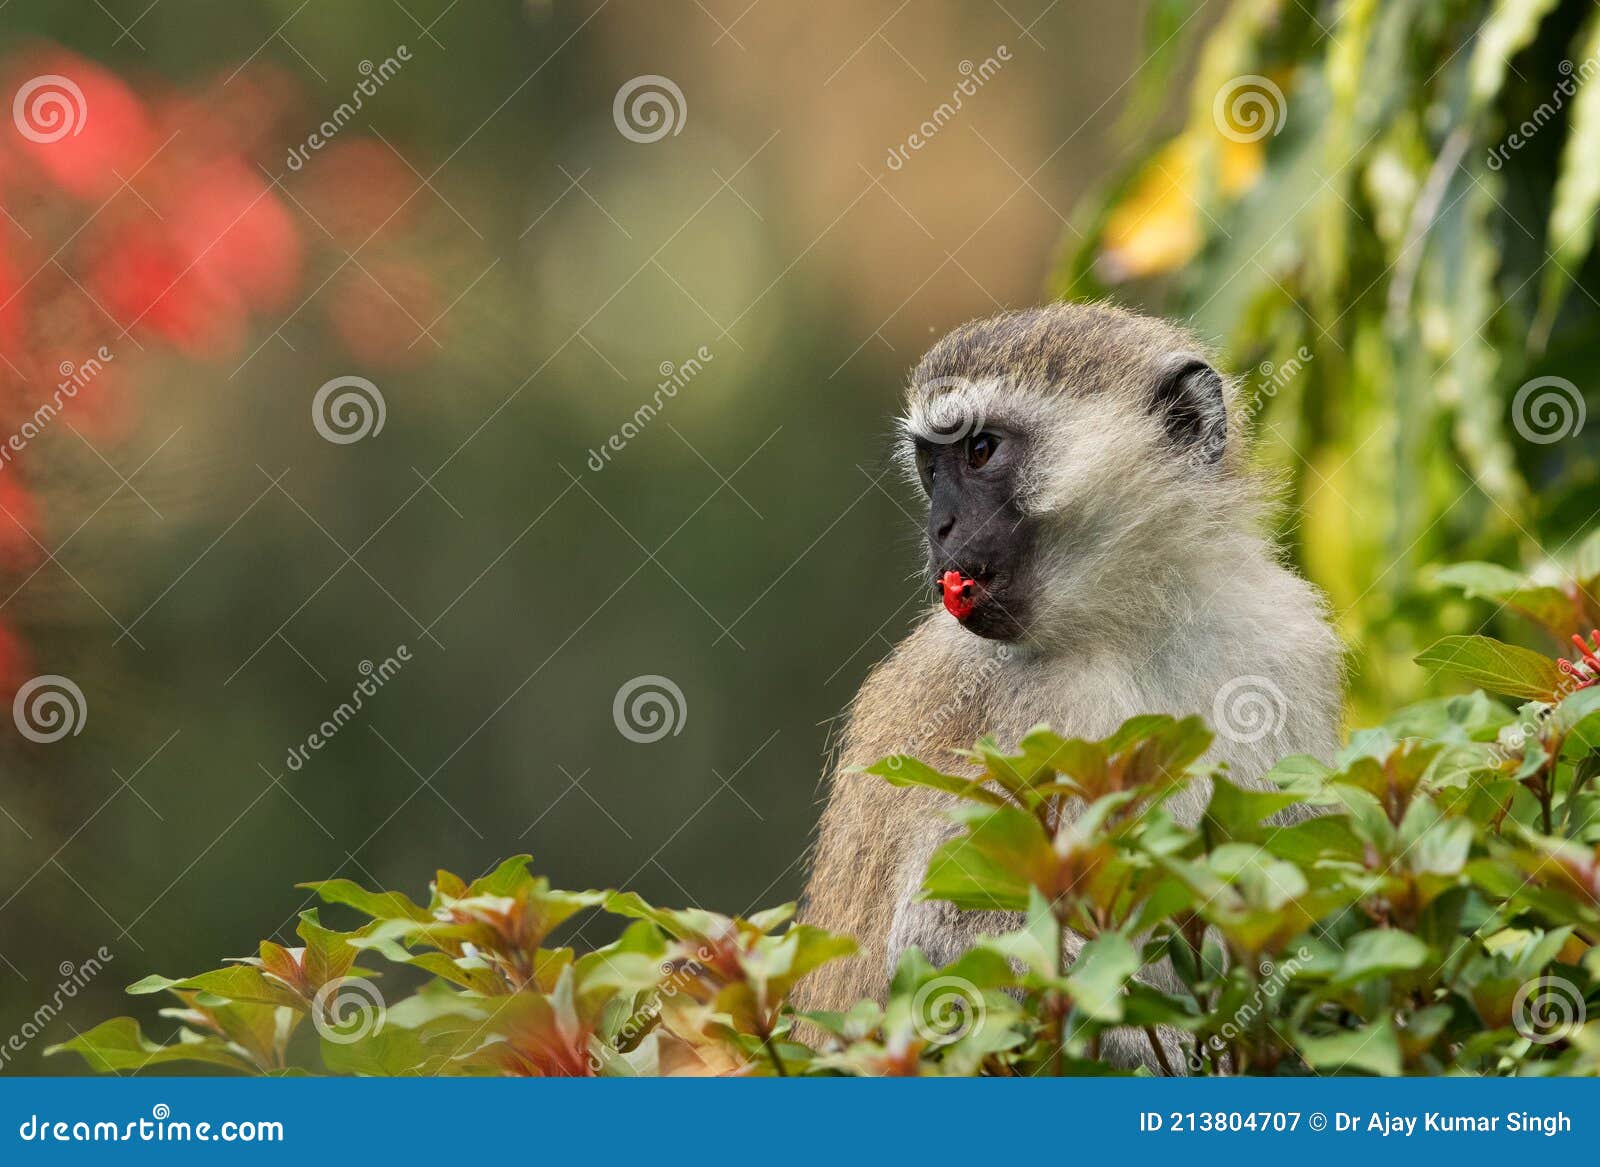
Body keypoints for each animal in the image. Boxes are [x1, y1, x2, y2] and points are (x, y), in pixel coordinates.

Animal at [795, 302, 1342, 1068]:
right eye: (932, 468)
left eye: (980, 451)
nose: (939, 529)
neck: (1140, 618)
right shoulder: (1034, 710)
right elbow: (941, 938)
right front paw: (1172, 1042)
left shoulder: (1288, 642)